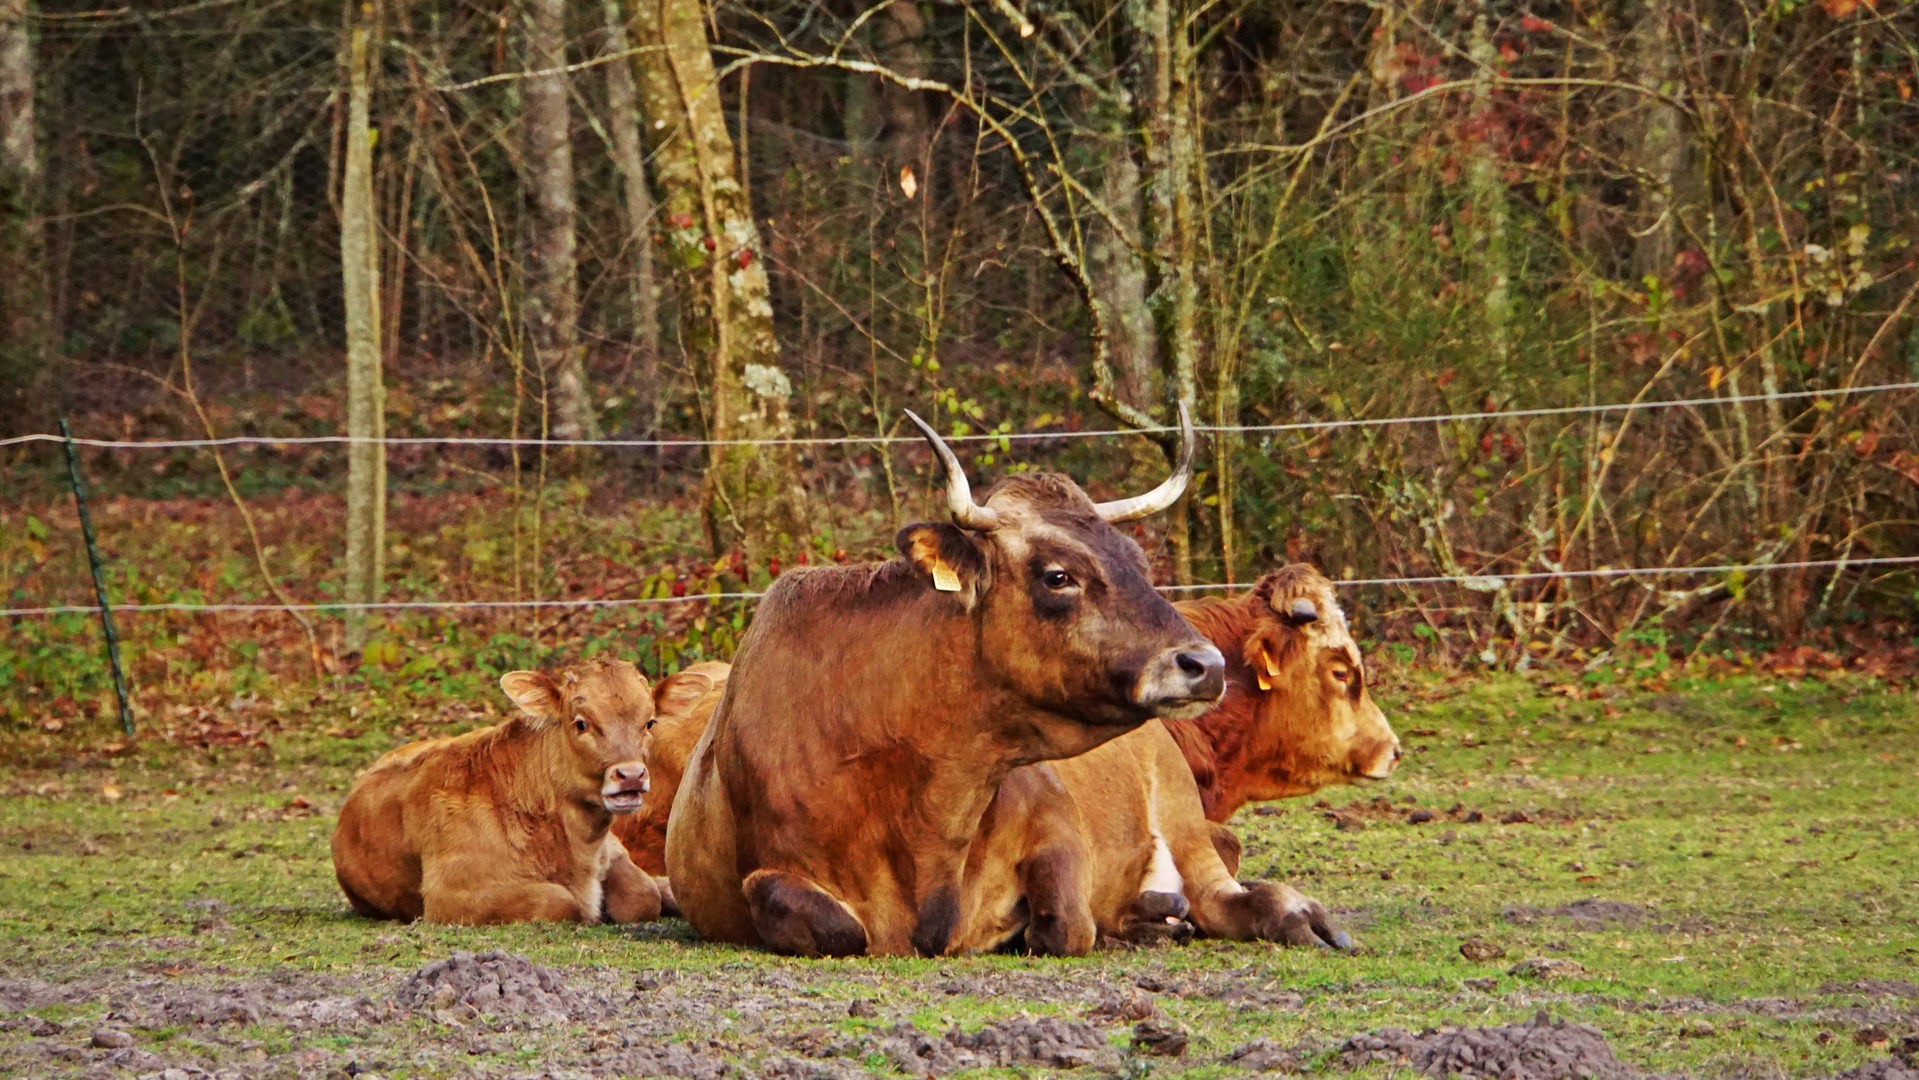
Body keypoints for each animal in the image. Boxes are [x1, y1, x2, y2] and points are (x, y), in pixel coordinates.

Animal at [331, 659, 663, 925]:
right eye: (581, 723)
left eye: (649, 722)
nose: (631, 775)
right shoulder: (448, 896)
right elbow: (561, 901)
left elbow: (646, 895)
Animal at [664, 405, 1227, 956]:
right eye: (1058, 576)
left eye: (1139, 562)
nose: (1207, 664)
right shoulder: (771, 875)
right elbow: (831, 924)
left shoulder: (1053, 814)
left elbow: (1065, 926)